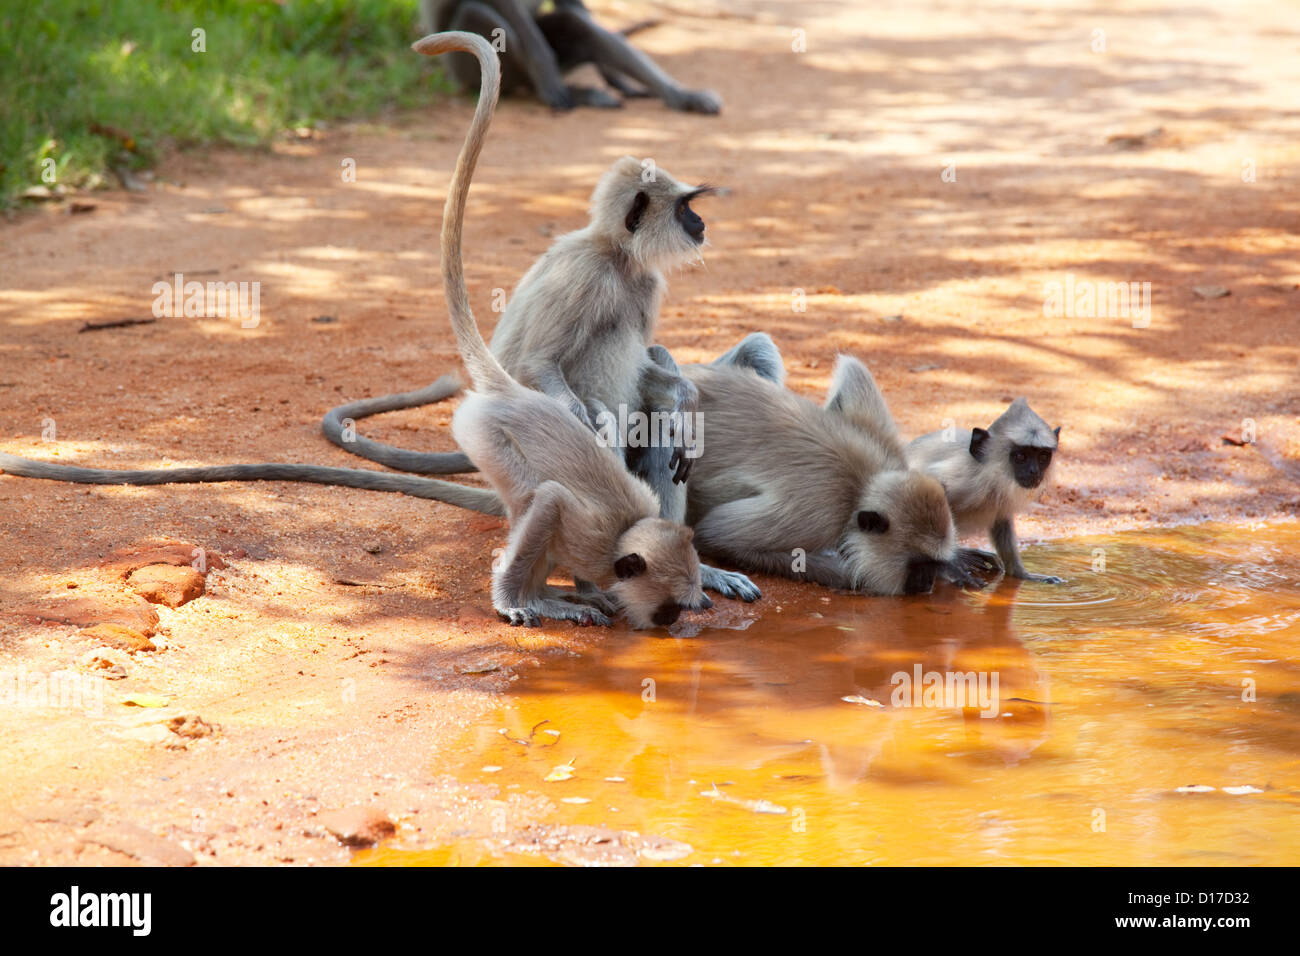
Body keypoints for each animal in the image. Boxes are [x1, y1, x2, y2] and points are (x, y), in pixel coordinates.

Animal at [0, 32, 712, 630]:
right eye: (686, 209)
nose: (668, 628)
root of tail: (506, 391)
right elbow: (553, 493)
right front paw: (528, 598)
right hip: (489, 437)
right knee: (537, 478)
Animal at [420, 0, 721, 113]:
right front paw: (546, 72)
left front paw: (615, 78)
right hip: (460, 66)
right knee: (475, 12)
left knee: (575, 24)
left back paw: (681, 98)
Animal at [906, 398, 1065, 584]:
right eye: (1020, 457)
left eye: (1043, 457)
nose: (1034, 471)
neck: (992, 476)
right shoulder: (964, 477)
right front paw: (952, 563)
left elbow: (1001, 521)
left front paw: (1021, 574)